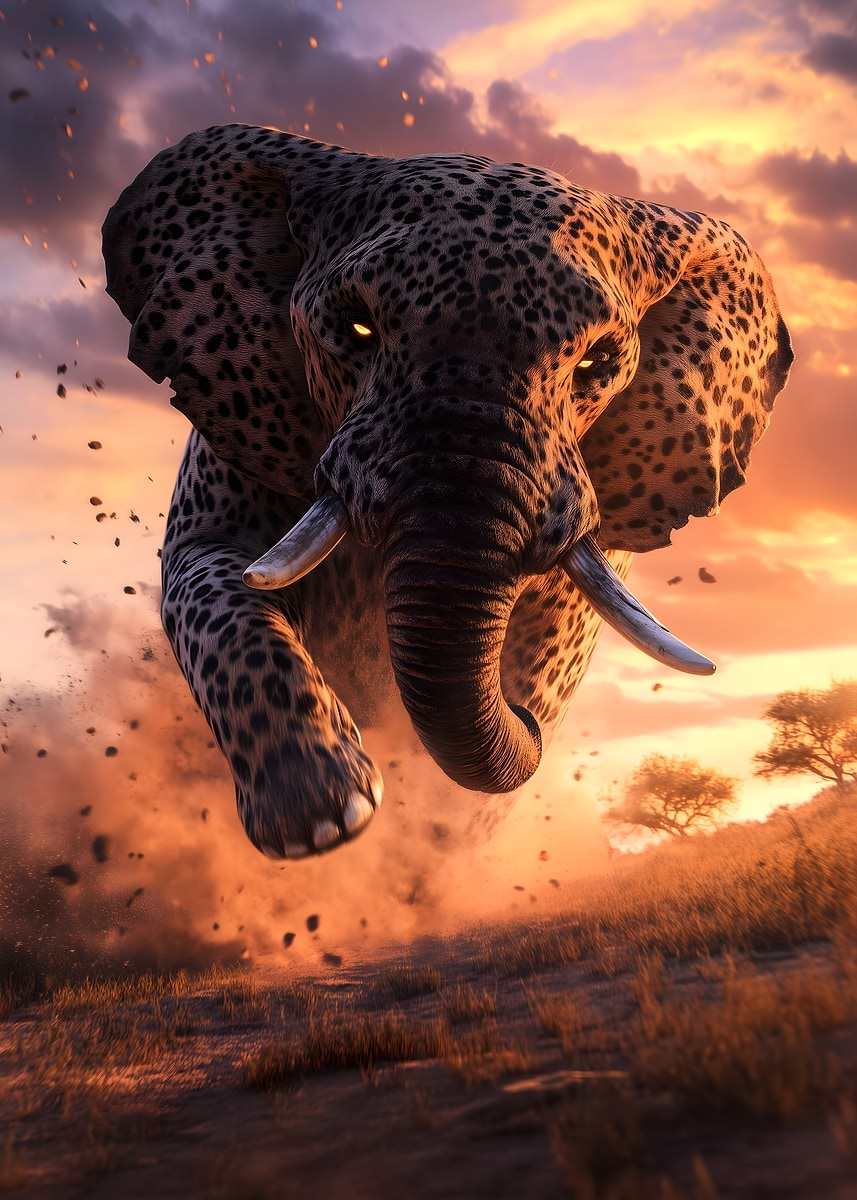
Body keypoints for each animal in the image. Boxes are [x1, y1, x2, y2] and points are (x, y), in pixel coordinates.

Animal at [101, 122, 793, 860]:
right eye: (355, 328)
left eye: (597, 363)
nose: (526, 717)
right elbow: (208, 570)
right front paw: (324, 819)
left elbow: (542, 650)